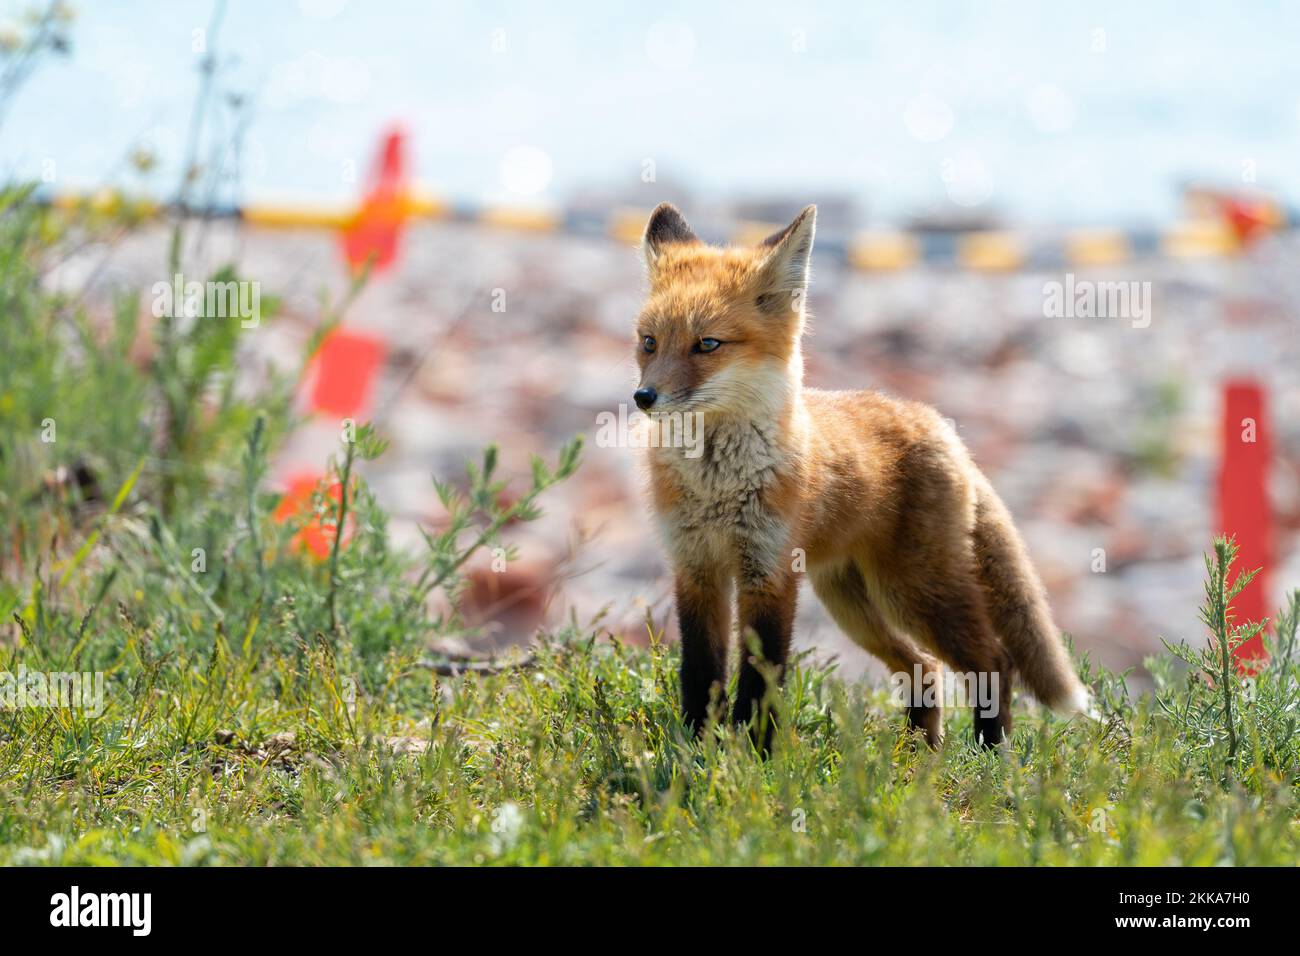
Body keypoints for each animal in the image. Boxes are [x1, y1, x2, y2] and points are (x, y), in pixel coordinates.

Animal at [632, 202, 1093, 753]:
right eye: (649, 343)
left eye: (706, 344)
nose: (643, 397)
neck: (715, 486)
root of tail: (935, 422)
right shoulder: (695, 569)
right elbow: (700, 674)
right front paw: (695, 750)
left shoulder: (769, 573)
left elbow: (762, 681)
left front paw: (755, 757)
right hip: (854, 605)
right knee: (925, 668)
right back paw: (919, 755)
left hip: (914, 593)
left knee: (992, 662)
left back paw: (988, 755)